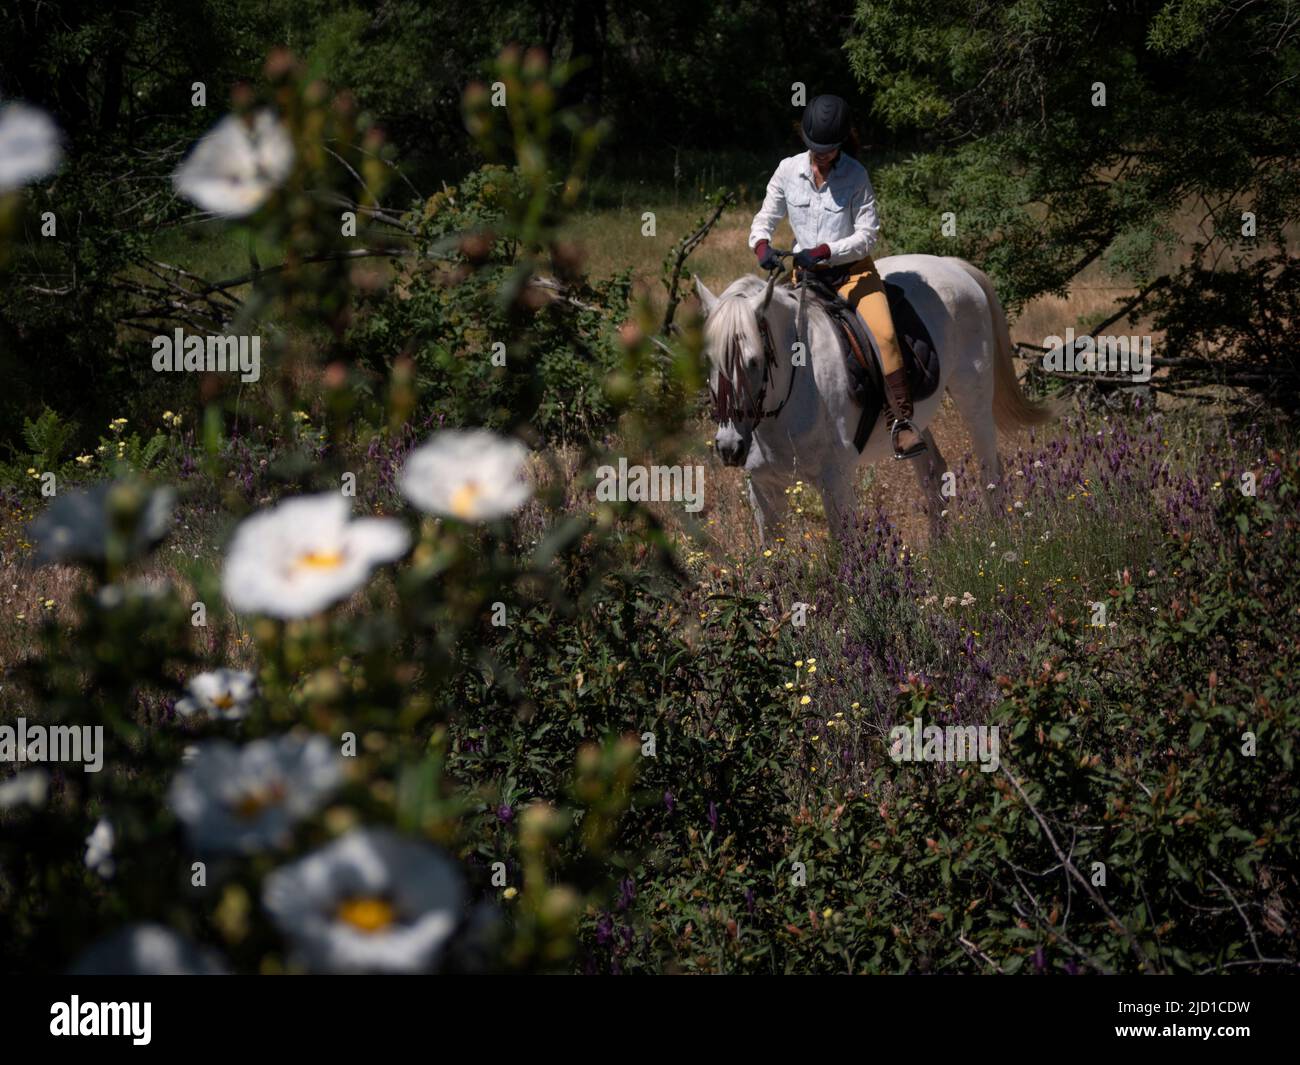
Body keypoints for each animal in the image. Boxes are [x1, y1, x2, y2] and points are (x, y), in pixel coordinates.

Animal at [693, 255, 1053, 544]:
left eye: (753, 360)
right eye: (707, 359)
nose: (729, 447)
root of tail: (952, 264)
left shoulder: (835, 481)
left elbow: (846, 551)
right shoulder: (763, 489)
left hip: (973, 394)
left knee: (989, 469)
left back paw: (998, 538)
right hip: (916, 421)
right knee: (932, 472)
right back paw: (941, 551)